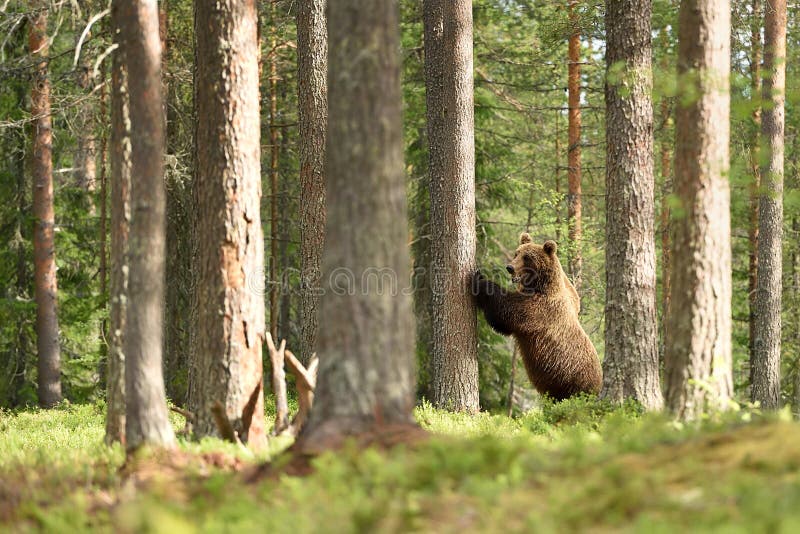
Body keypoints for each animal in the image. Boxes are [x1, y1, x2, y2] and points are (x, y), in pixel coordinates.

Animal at [472, 232, 602, 401]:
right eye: (516, 253)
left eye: (527, 257)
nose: (510, 267)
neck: (540, 285)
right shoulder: (570, 296)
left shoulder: (540, 310)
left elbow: (506, 312)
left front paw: (479, 281)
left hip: (573, 384)